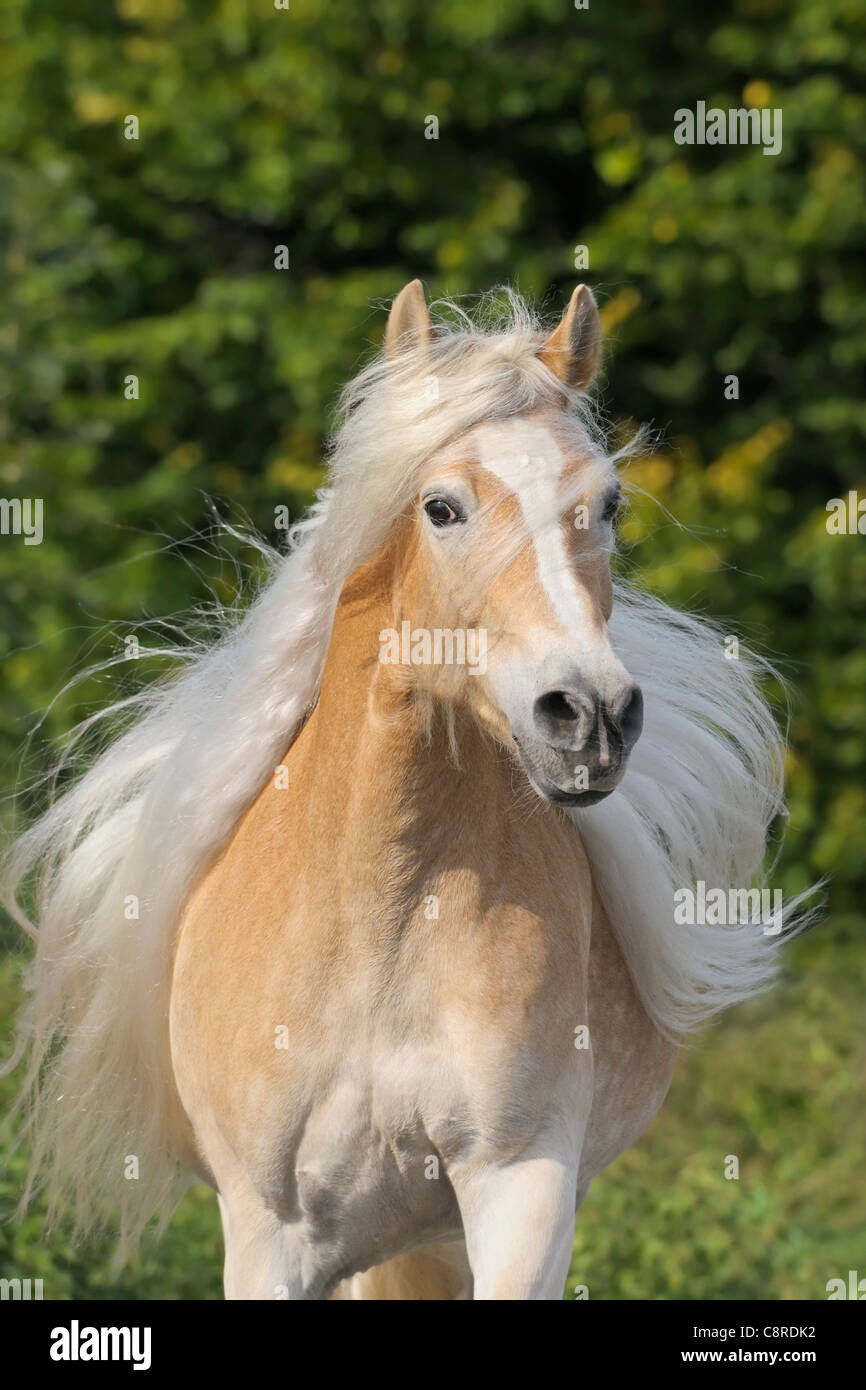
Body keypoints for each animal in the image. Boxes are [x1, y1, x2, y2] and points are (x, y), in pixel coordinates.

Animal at [2, 282, 807, 1299]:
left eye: (609, 502)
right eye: (441, 507)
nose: (588, 716)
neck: (382, 921)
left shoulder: (518, 1186)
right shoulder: (268, 1232)